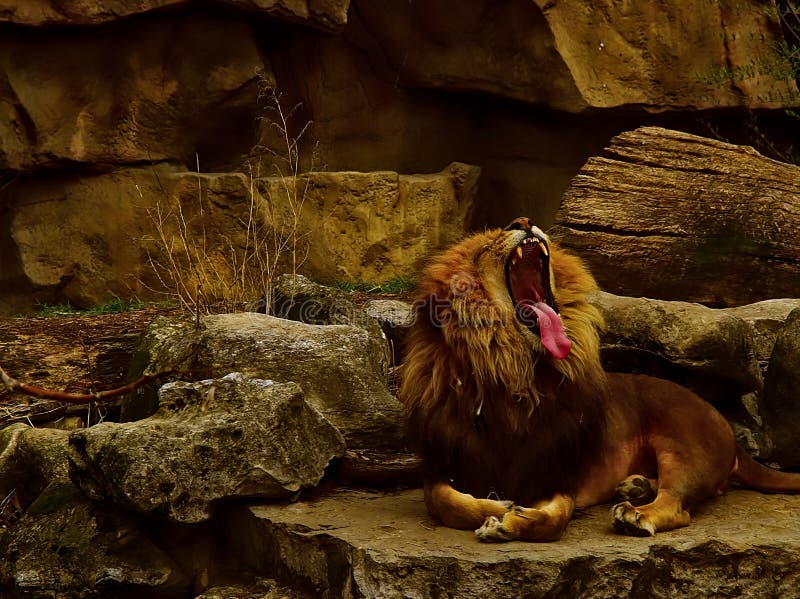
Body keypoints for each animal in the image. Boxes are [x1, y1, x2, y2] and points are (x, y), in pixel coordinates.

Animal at [399, 217, 800, 542]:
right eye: (487, 245)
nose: (523, 221)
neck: (514, 372)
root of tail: (724, 422)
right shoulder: (445, 465)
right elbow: (446, 503)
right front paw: (499, 509)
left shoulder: (557, 475)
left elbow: (553, 521)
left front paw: (509, 520)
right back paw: (635, 486)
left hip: (685, 447)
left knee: (677, 505)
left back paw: (635, 513)